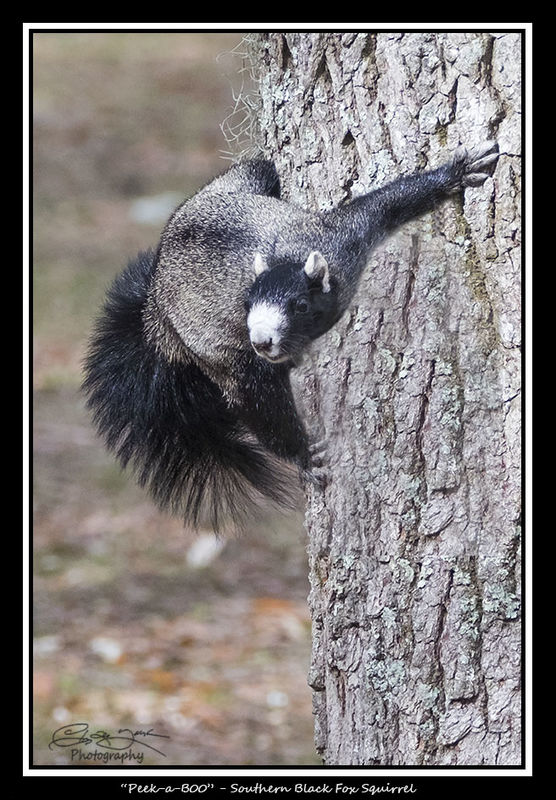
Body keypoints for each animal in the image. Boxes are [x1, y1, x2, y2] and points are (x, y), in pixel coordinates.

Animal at [83, 142, 499, 531]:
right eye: (246, 302)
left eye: (299, 304)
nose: (262, 341)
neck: (286, 257)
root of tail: (154, 307)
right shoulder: (243, 361)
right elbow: (260, 408)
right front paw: (304, 457)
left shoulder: (343, 239)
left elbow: (385, 204)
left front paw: (458, 172)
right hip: (215, 353)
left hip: (249, 177)